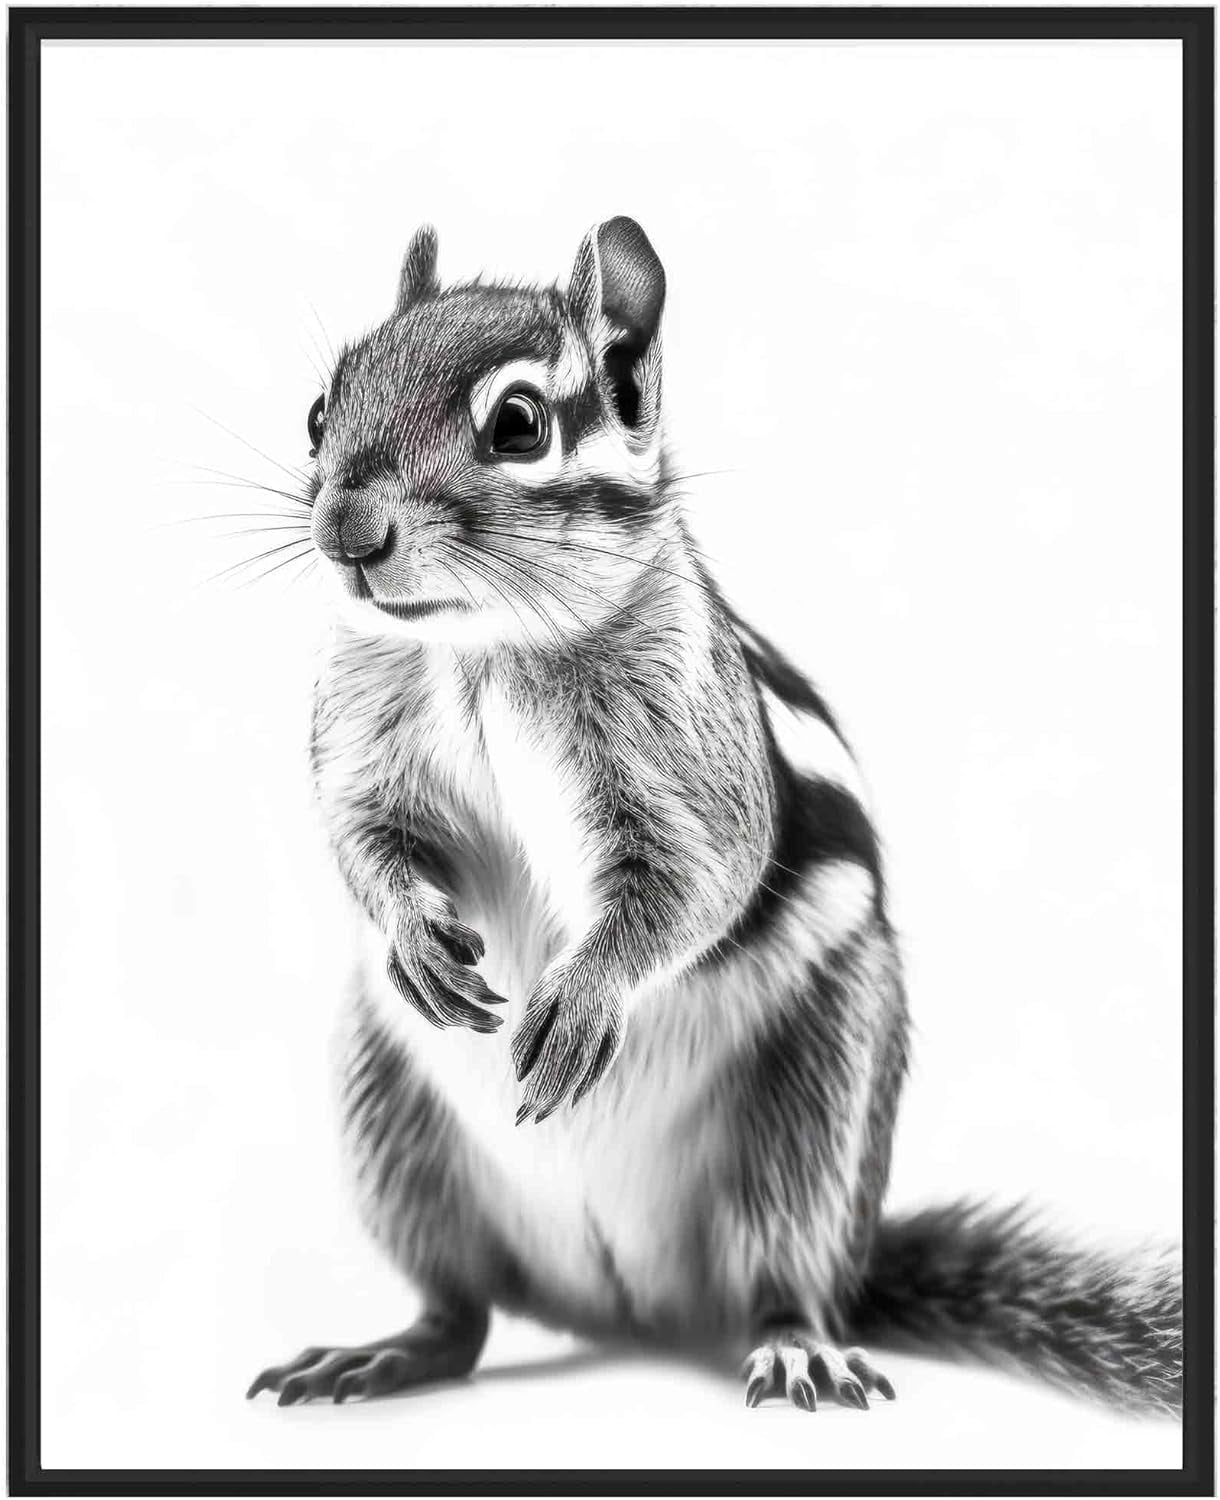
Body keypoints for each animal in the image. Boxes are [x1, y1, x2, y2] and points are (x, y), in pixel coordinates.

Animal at [247, 218, 1181, 1415]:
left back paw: (794, 1343)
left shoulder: (686, 756)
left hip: (818, 1105)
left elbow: (695, 877)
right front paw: (414, 934)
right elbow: (361, 834)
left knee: (783, 1270)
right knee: (458, 1309)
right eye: (322, 409)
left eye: (518, 423)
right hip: (385, 1118)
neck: (480, 648)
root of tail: (622, 1302)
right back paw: (385, 1352)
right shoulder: (358, 735)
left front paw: (584, 998)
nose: (346, 532)